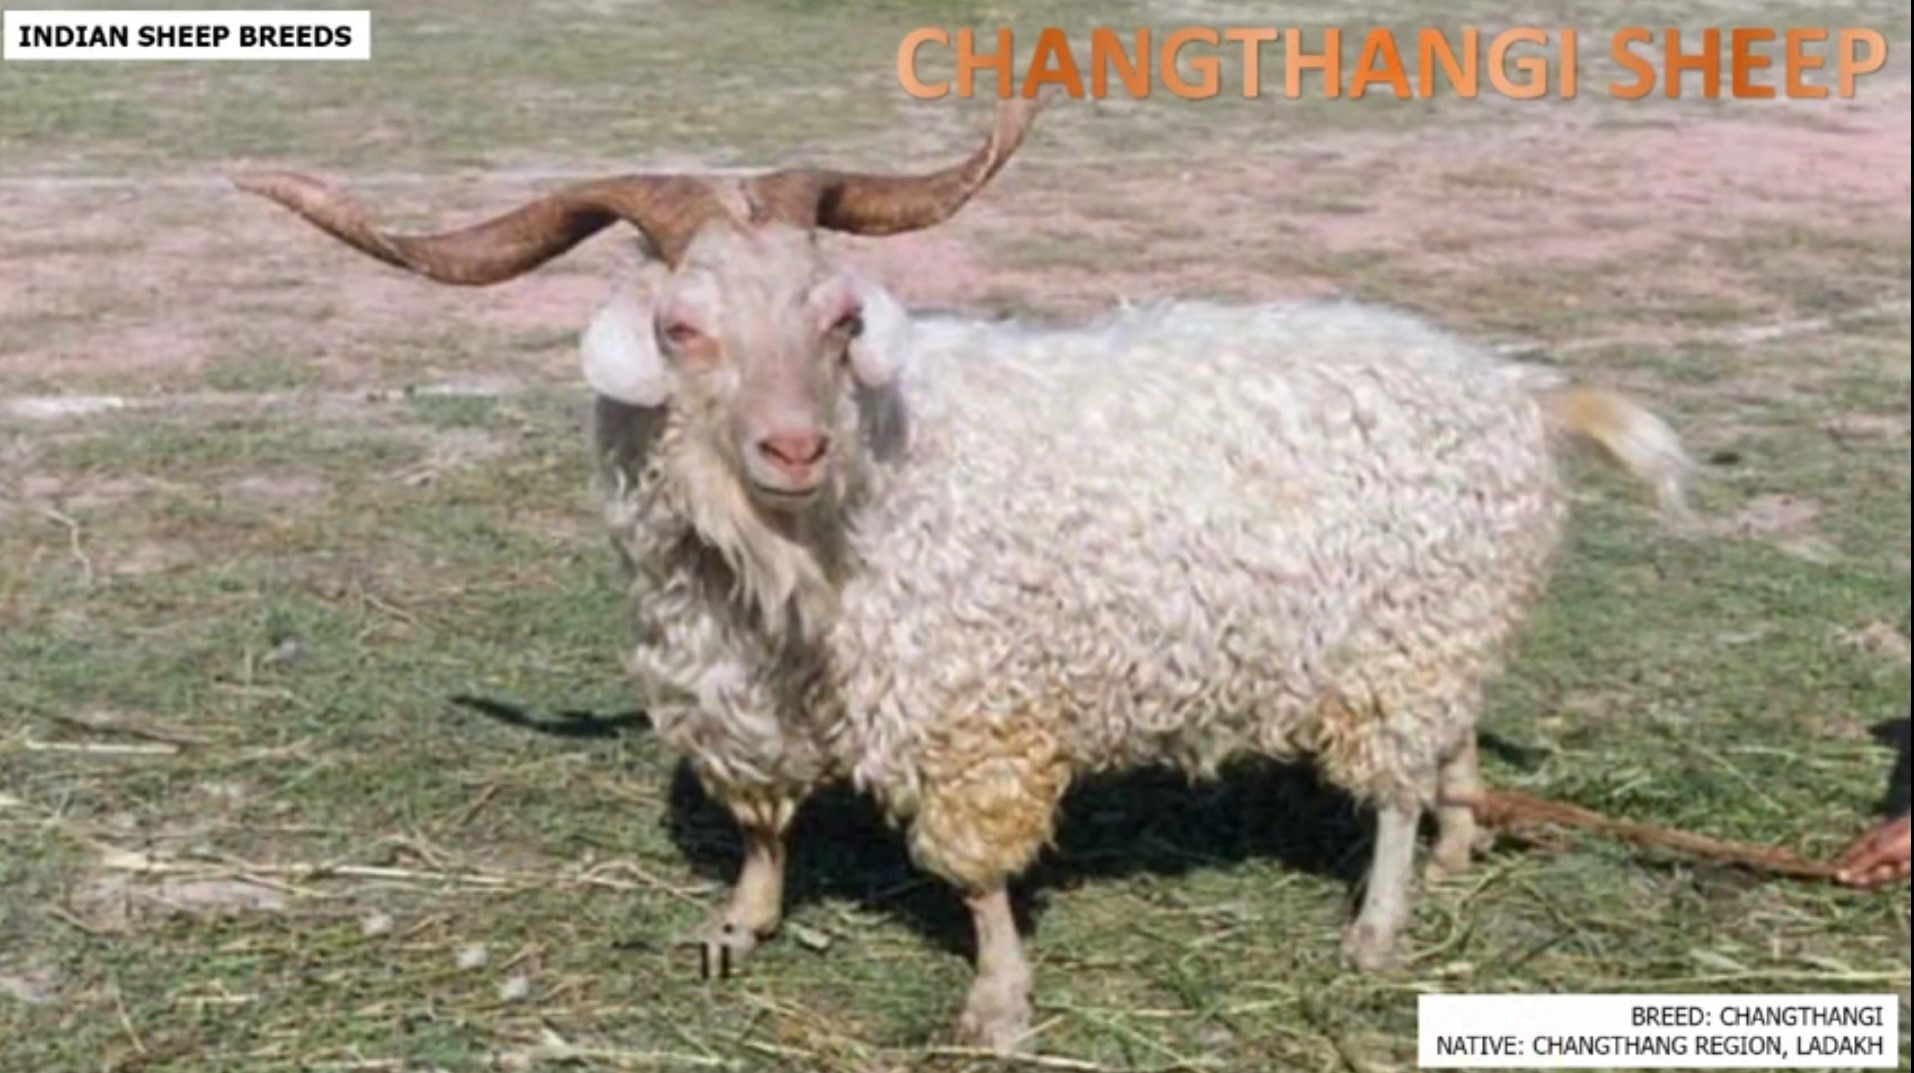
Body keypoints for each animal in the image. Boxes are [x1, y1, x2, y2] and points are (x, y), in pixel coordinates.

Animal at [232, 95, 1696, 1053]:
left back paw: (1379, 925)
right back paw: (1459, 837)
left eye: (837, 315)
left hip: (1398, 635)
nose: (795, 444)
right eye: (681, 326)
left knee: (1385, 789)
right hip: (1436, 627)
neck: (808, 541)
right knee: (1448, 744)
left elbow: (980, 875)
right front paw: (739, 924)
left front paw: (997, 1002)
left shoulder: (968, 707)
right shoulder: (741, 692)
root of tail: (1517, 392)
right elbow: (763, 825)